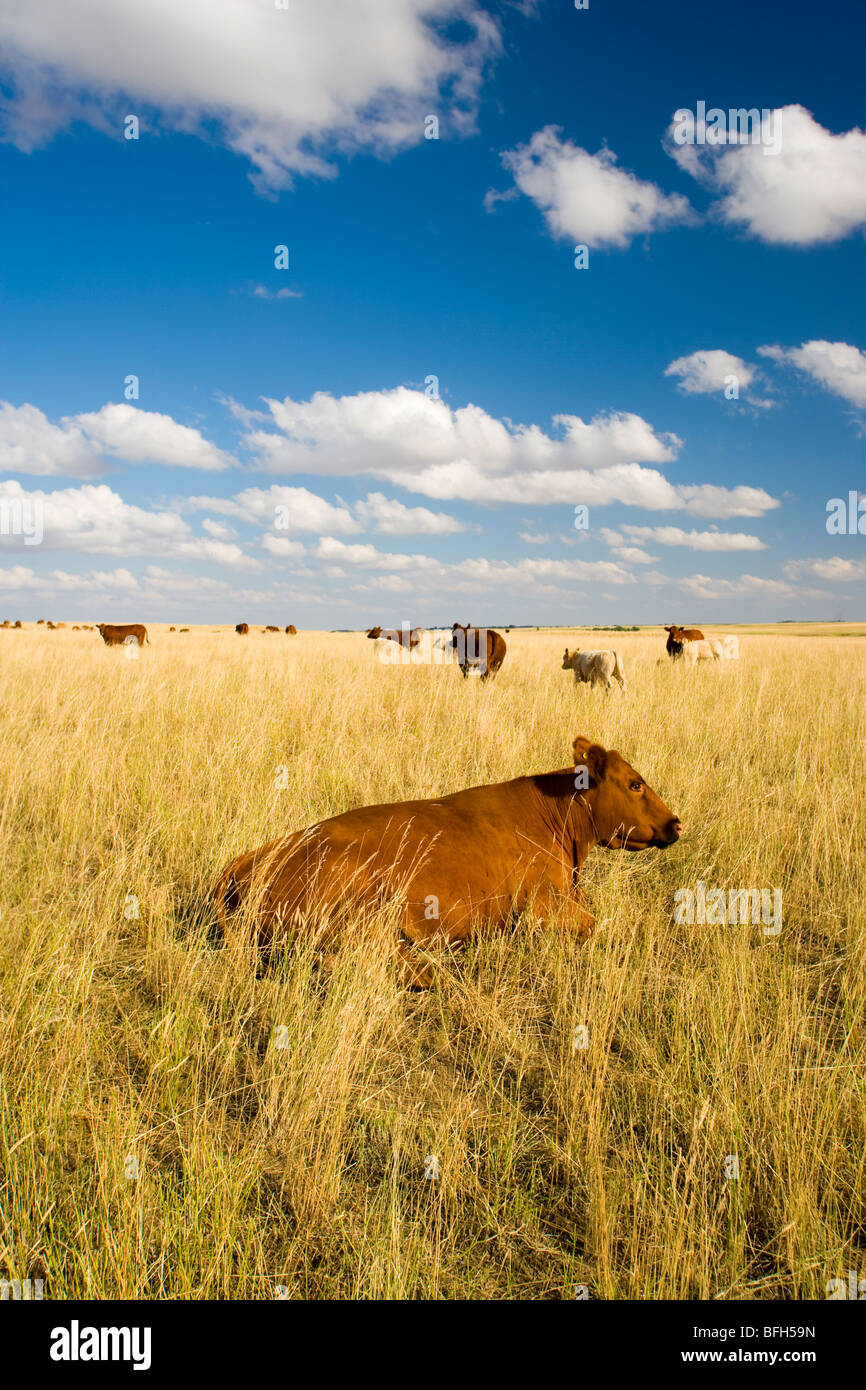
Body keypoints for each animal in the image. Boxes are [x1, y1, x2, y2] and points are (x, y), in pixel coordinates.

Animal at [214, 734, 682, 987]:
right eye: (635, 784)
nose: (675, 823)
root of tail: (242, 864)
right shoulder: (542, 907)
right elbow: (594, 924)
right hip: (363, 910)